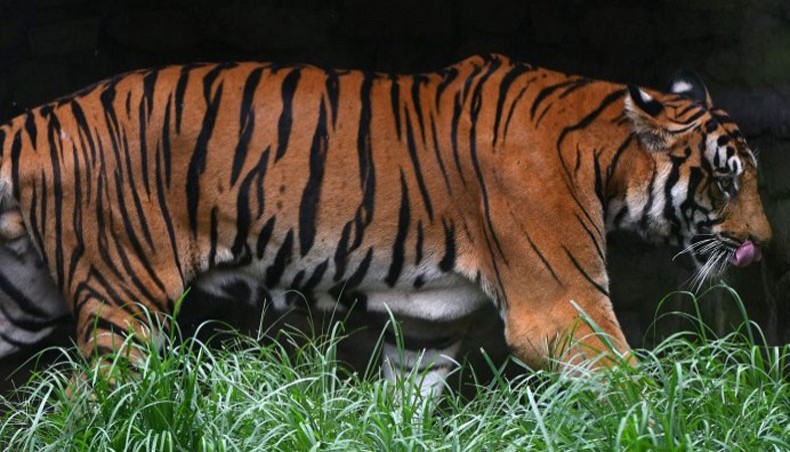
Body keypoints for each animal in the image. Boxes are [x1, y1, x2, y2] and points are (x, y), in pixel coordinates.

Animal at [0, 54, 771, 395]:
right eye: (728, 179)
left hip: (21, 300)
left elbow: (409, 398)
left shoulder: (426, 327)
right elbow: (637, 390)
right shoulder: (561, 309)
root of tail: (40, 118)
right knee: (102, 406)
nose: (764, 244)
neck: (603, 157)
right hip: (124, 303)